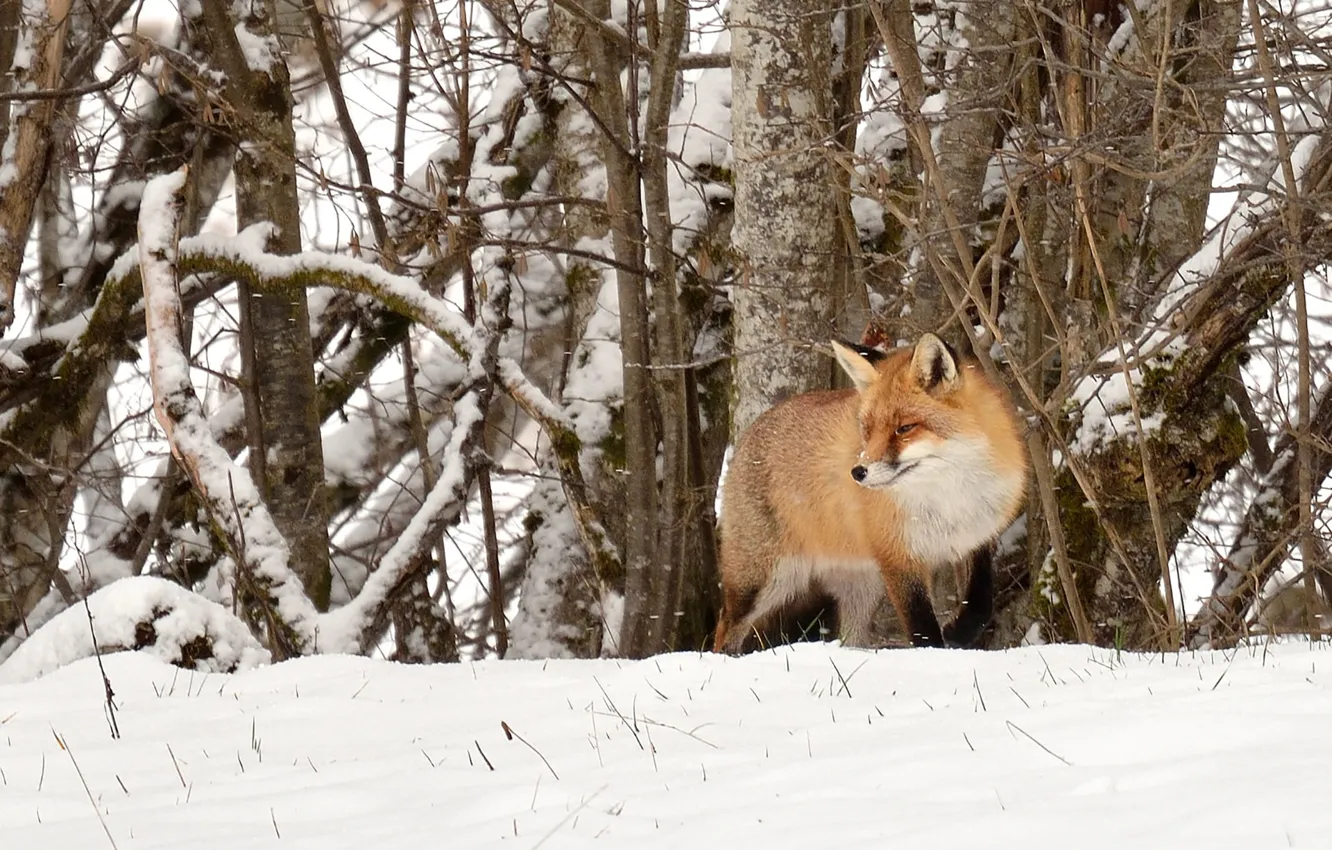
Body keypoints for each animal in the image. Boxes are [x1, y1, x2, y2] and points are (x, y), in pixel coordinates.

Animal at [713, 333, 1028, 654]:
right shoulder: (899, 557)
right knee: (725, 626)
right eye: (867, 429)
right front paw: (932, 653)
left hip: (861, 592)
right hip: (765, 580)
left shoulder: (976, 538)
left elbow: (982, 603)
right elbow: (921, 626)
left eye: (905, 428)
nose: (858, 472)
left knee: (849, 640)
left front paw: (958, 632)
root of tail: (747, 436)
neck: (948, 499)